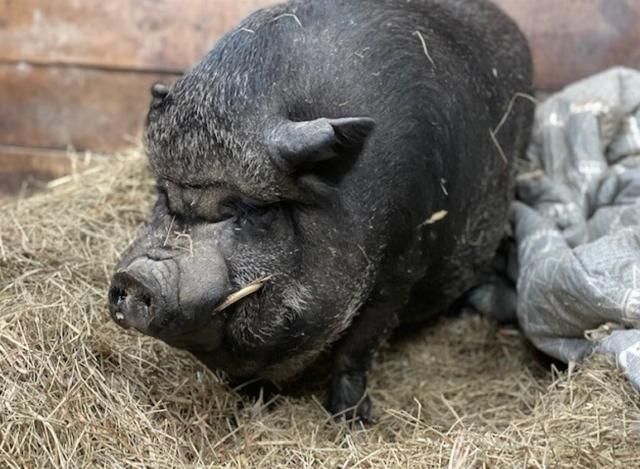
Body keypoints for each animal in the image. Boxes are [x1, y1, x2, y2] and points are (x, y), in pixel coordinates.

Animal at [108, 0, 534, 421]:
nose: (137, 276)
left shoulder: (402, 266)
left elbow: (358, 348)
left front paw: (351, 420)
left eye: (254, 212)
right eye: (164, 195)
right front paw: (247, 404)